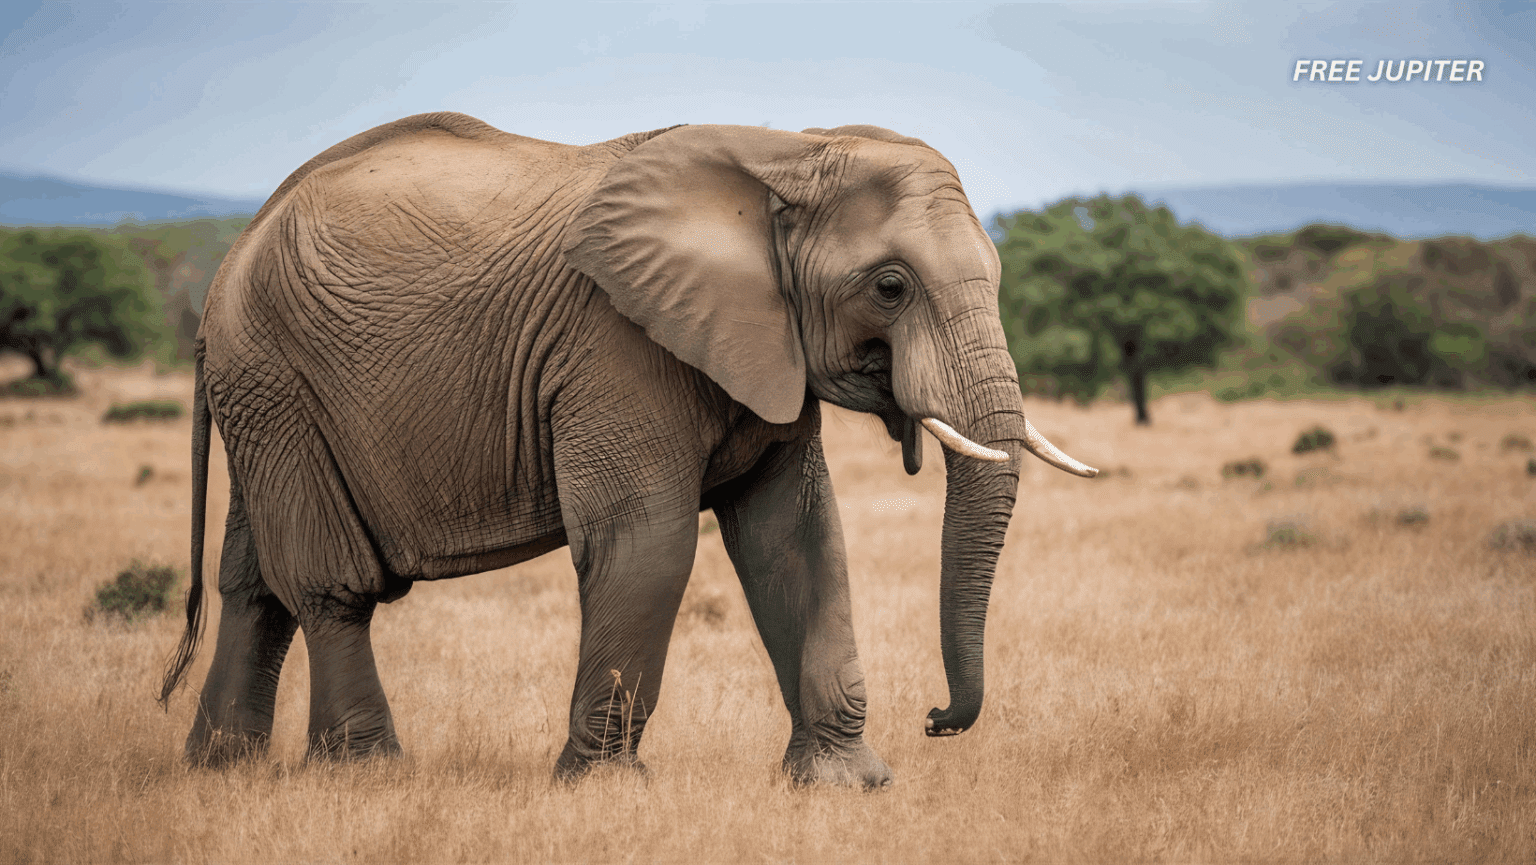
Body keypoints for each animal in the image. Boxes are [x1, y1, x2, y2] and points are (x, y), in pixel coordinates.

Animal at [158, 112, 1097, 788]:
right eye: (891, 287)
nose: (938, 718)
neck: (786, 154)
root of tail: (230, 258)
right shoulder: (615, 345)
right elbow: (648, 543)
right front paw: (601, 788)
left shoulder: (764, 348)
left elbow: (796, 539)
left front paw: (847, 785)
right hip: (274, 376)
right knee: (328, 584)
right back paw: (365, 774)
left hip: (266, 394)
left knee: (252, 582)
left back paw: (218, 767)